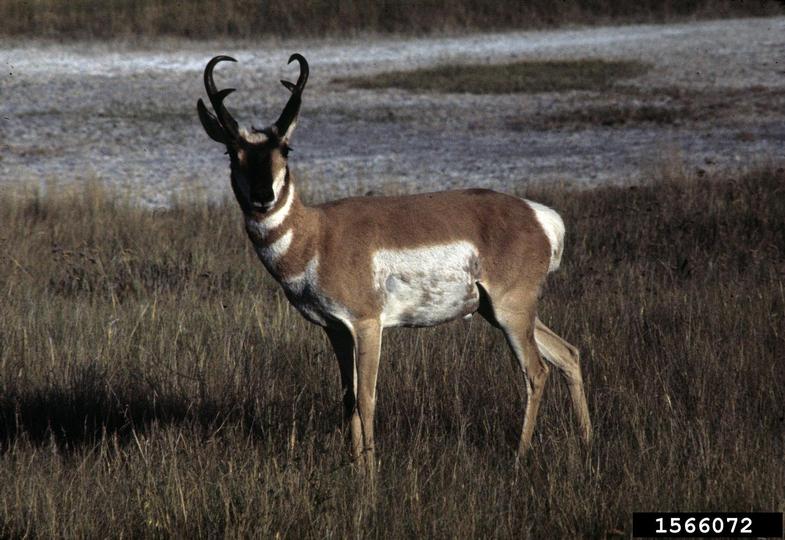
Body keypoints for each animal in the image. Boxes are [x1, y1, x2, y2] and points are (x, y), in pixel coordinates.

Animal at [197, 53, 592, 465]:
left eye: (285, 150)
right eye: (231, 151)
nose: (263, 196)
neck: (317, 235)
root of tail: (538, 215)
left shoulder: (367, 325)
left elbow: (366, 399)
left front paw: (370, 471)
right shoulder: (335, 330)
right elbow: (347, 398)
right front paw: (354, 464)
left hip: (511, 311)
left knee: (537, 371)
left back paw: (520, 455)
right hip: (500, 312)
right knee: (569, 354)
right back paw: (586, 442)